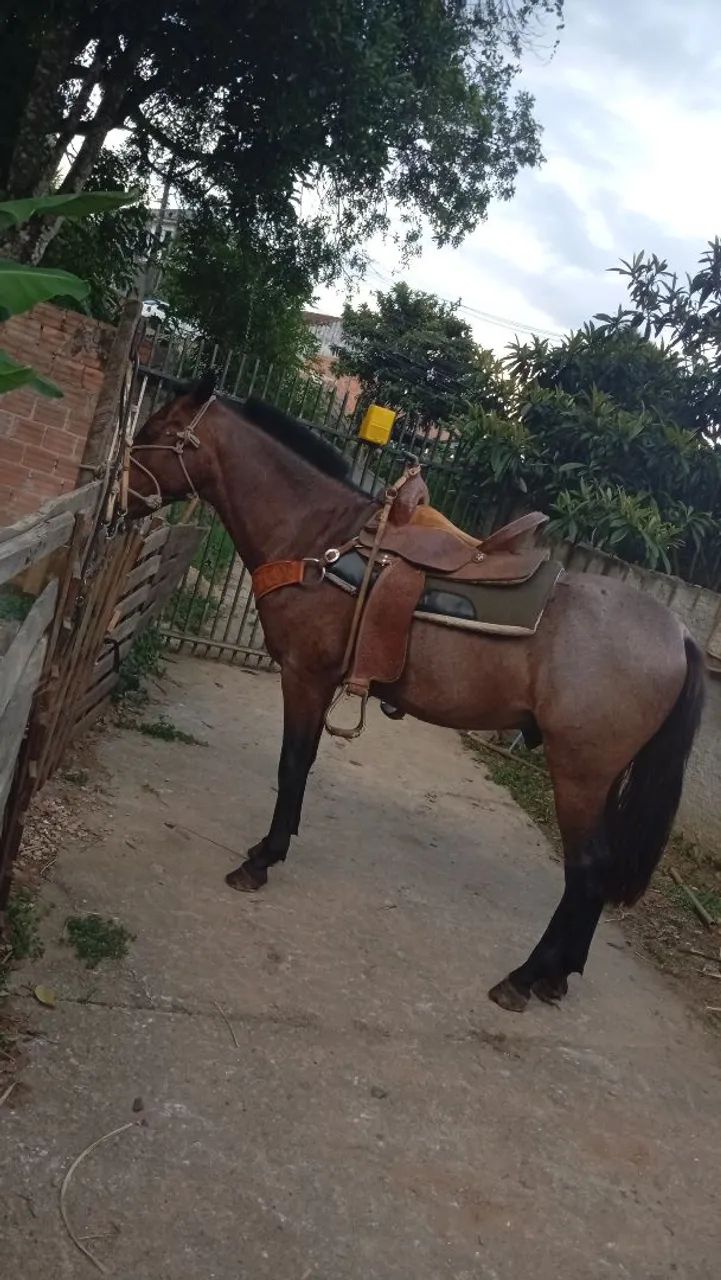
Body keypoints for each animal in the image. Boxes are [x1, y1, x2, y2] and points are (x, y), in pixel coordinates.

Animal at [128, 376, 705, 1013]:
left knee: (587, 868)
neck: (320, 539)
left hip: (579, 771)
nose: (121, 493)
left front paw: (262, 858)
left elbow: (292, 764)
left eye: (155, 431)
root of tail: (678, 633)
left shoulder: (304, 676)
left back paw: (523, 977)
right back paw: (557, 976)